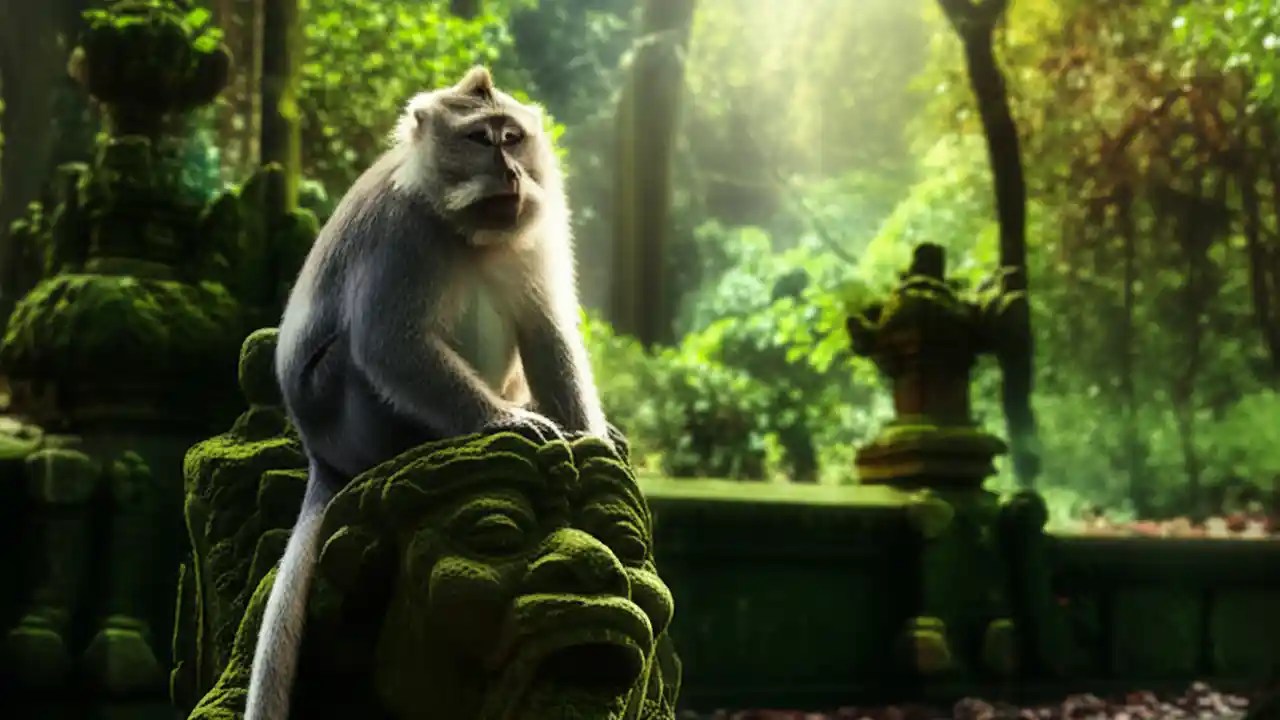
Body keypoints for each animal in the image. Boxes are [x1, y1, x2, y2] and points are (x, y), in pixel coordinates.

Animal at [244, 66, 613, 720]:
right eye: (479, 139)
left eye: (513, 138)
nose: (511, 171)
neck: (465, 227)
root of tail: (319, 453)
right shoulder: (402, 234)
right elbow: (391, 343)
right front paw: (506, 424)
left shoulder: (536, 227)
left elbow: (546, 331)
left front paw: (590, 439)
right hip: (354, 414)